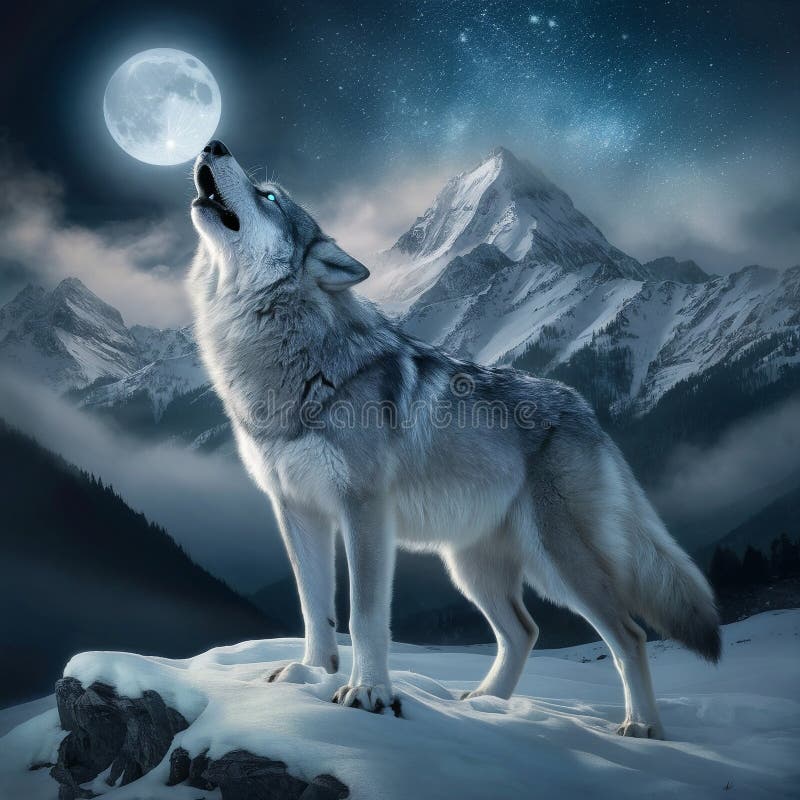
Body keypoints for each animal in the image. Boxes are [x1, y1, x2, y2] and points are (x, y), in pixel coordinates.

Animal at [188, 140, 720, 739]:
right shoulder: (296, 509)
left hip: (557, 563)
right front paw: (312, 675)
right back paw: (485, 706)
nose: (213, 144)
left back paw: (640, 728)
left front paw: (368, 692)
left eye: (270, 196)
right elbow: (313, 608)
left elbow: (364, 615)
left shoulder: (363, 509)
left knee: (628, 634)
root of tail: (585, 411)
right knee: (524, 631)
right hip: (472, 567)